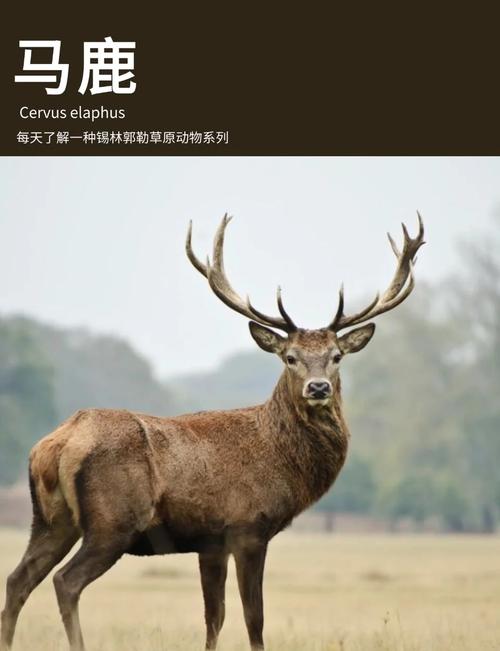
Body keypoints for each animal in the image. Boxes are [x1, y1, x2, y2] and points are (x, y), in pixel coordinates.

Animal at [0, 213, 424, 651]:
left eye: (336, 356)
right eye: (290, 357)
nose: (318, 387)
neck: (280, 459)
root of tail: (56, 443)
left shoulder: (210, 542)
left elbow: (214, 617)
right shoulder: (248, 527)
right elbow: (254, 619)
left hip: (50, 519)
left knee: (17, 580)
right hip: (112, 521)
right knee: (65, 582)